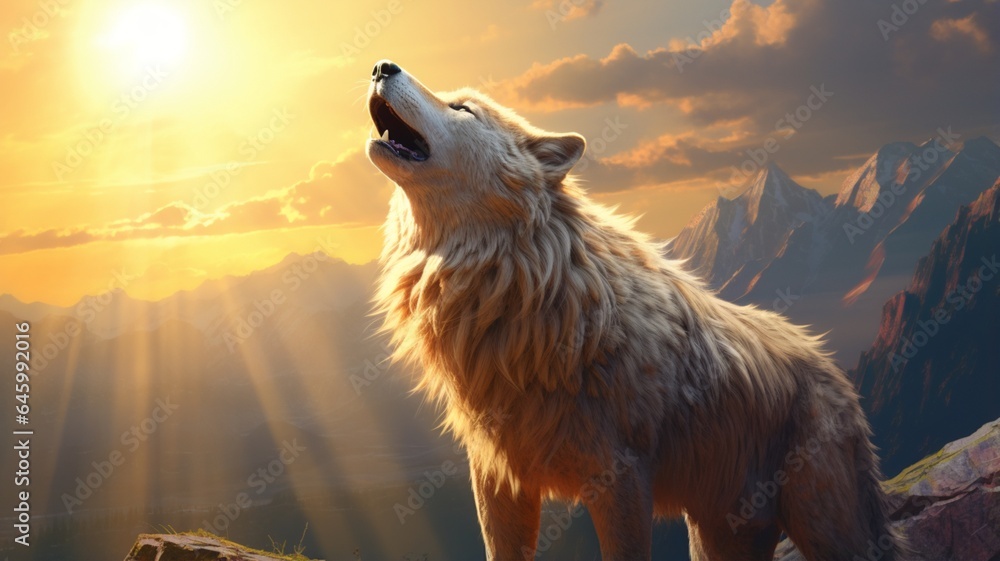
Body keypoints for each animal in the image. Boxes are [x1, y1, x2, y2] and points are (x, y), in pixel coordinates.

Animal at [365, 59, 906, 561]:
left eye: (462, 108)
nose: (380, 66)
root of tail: (830, 366)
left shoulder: (620, 479)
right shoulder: (497, 478)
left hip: (824, 526)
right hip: (720, 532)